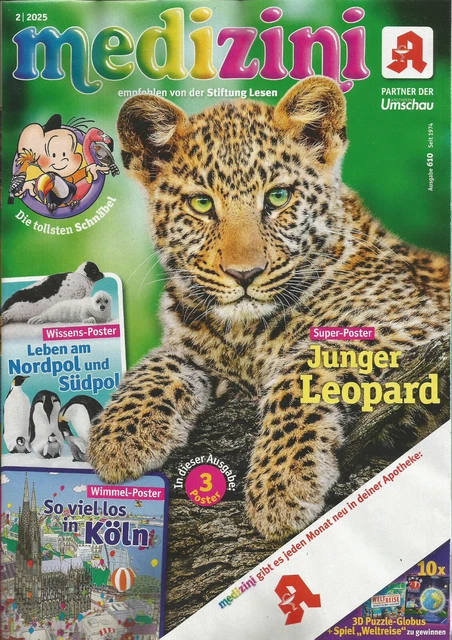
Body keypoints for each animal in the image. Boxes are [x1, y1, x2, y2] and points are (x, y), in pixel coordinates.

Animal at [88, 76, 449, 540]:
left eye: (278, 197)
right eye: (201, 204)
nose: (245, 274)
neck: (246, 334)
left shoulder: (419, 325)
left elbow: (307, 362)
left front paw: (282, 481)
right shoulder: (194, 344)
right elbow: (161, 359)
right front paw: (120, 435)